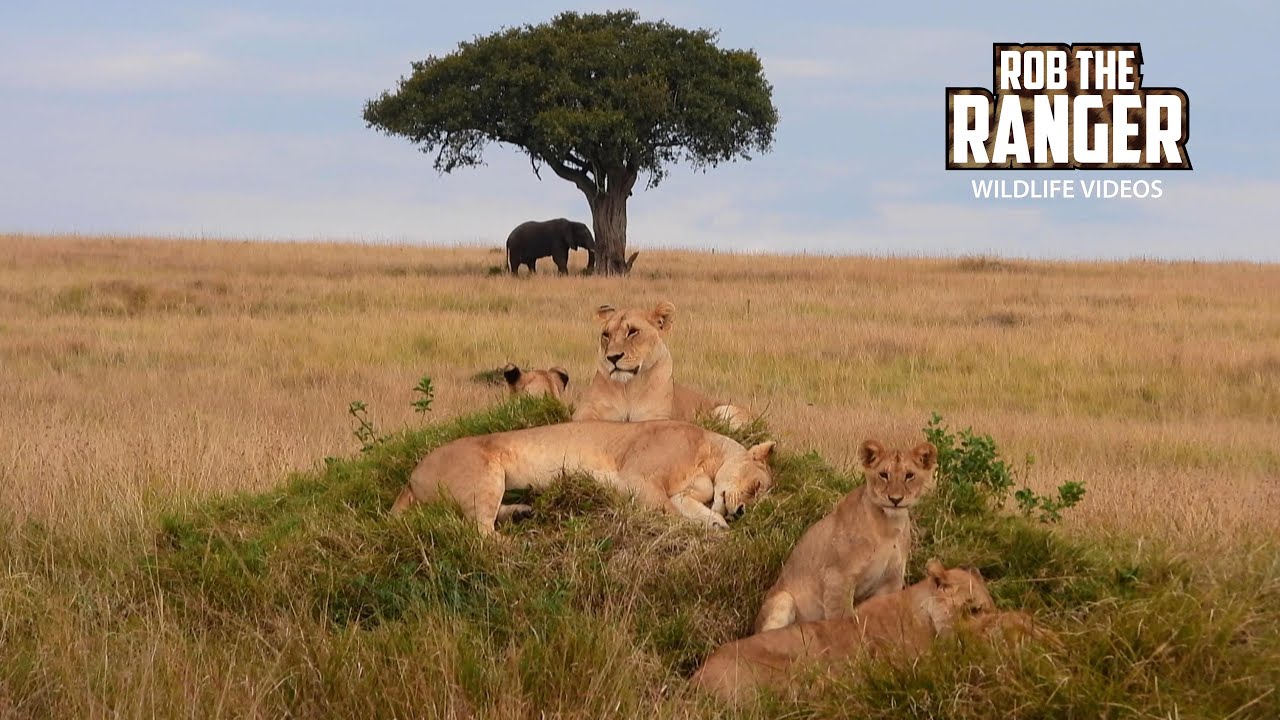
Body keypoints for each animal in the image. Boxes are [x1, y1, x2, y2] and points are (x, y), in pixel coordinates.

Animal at [390, 420, 775, 534]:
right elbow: (668, 512)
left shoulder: (684, 492)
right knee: (479, 533)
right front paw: (696, 529)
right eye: (756, 487)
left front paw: (716, 523)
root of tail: (412, 476)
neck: (709, 456)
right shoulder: (637, 478)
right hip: (485, 473)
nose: (742, 512)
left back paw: (522, 512)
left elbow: (694, 507)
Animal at [571, 301, 749, 427]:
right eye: (606, 335)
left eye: (633, 331)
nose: (613, 358)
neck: (628, 387)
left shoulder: (656, 417)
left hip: (723, 410)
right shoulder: (584, 412)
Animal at [753, 439, 938, 633]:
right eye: (883, 475)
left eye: (909, 475)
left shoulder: (891, 581)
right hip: (783, 599)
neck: (888, 526)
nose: (895, 499)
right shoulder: (837, 578)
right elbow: (842, 618)